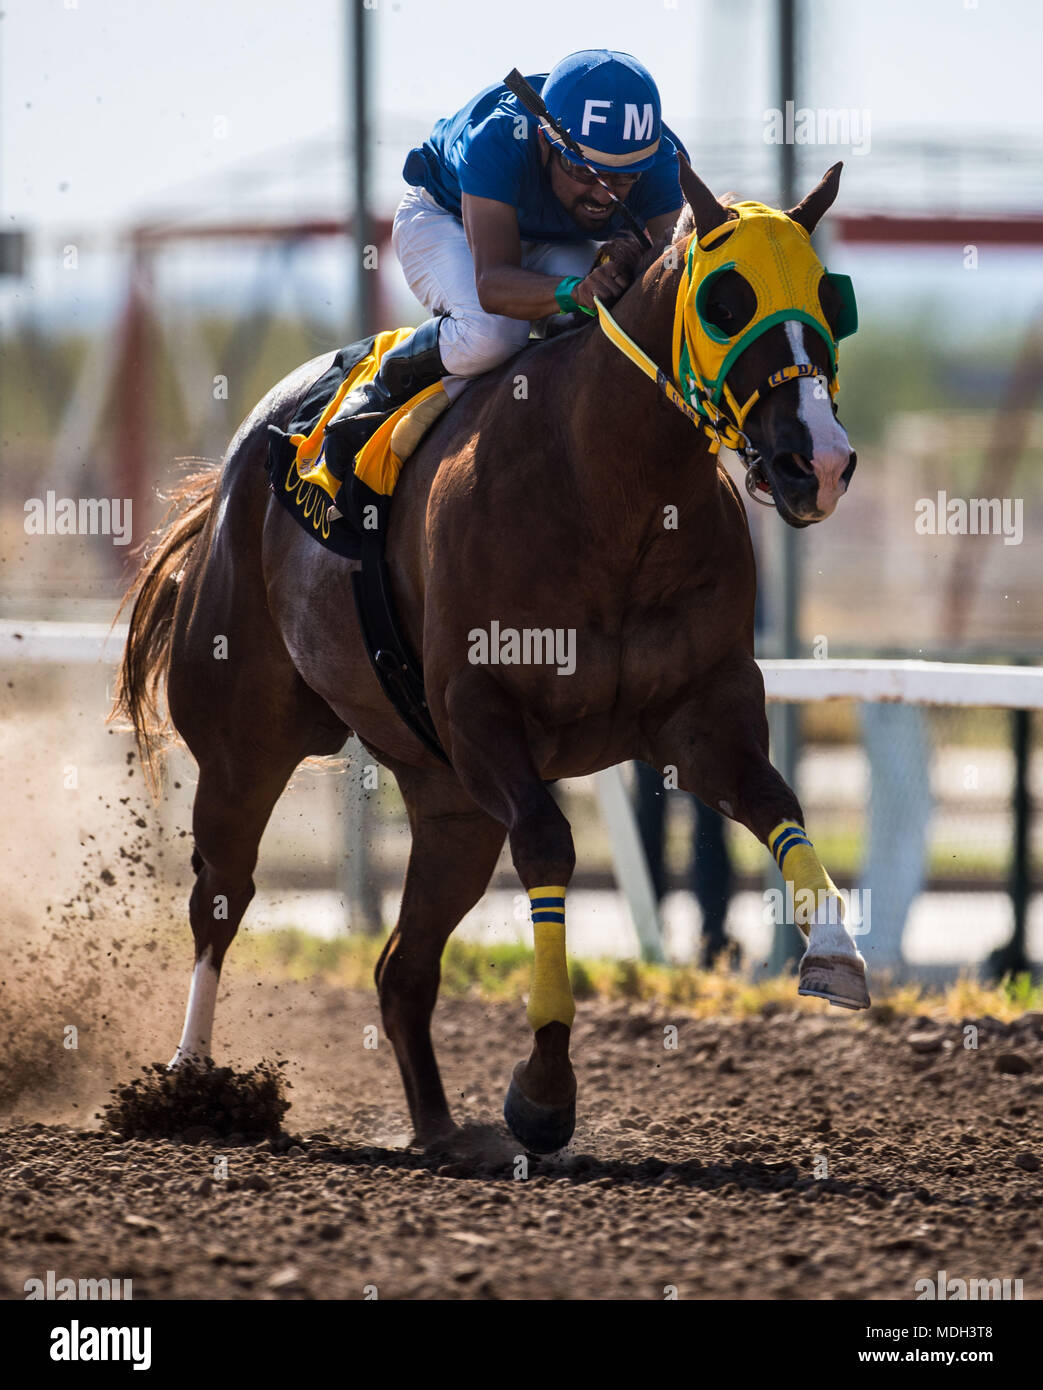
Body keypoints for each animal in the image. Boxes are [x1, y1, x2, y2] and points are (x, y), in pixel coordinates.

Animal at [115, 157, 865, 1155]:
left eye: (829, 295)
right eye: (726, 298)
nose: (817, 463)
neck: (608, 487)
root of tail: (237, 472)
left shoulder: (701, 713)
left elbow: (779, 805)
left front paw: (835, 954)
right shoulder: (479, 714)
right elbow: (549, 842)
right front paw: (543, 1085)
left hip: (449, 806)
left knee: (400, 967)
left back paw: (438, 1130)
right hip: (247, 744)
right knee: (221, 897)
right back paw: (193, 1086)